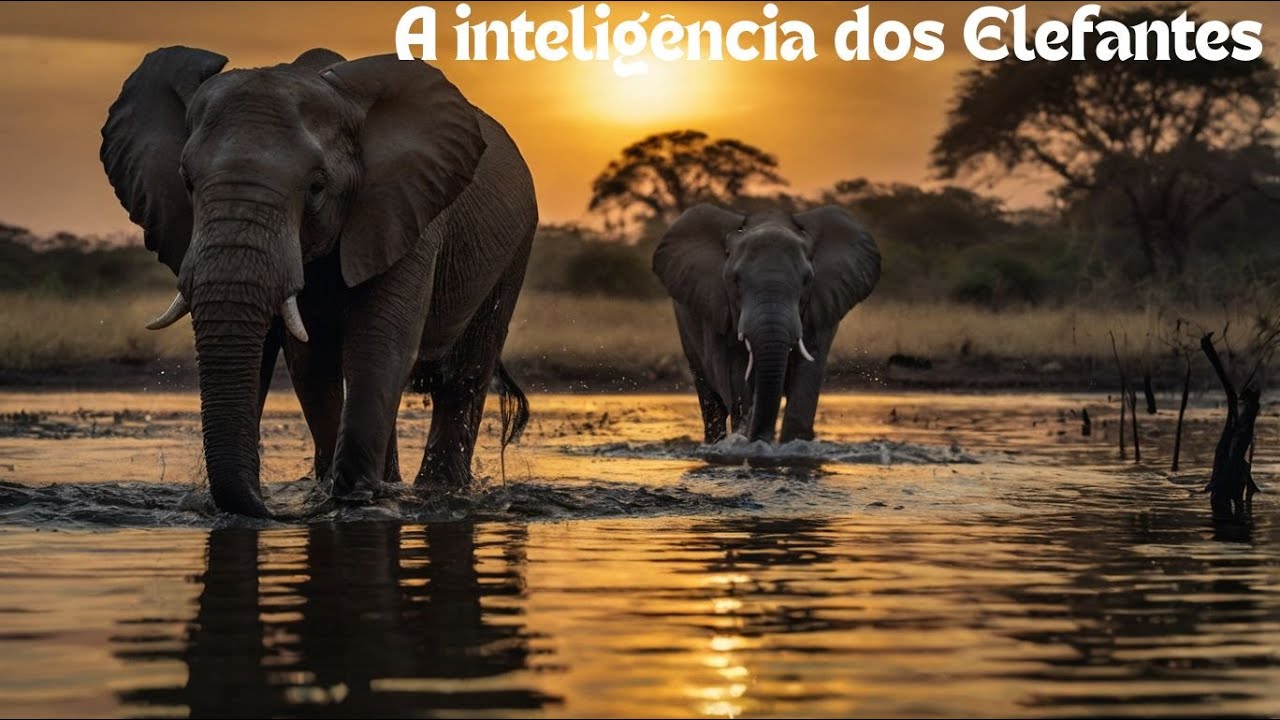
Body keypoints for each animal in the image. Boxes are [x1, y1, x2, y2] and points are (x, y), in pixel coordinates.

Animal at [100, 47, 537, 517]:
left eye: (316, 187)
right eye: (187, 182)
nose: (270, 510)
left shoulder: (405, 211)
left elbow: (376, 344)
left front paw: (352, 500)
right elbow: (310, 360)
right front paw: (338, 496)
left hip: (514, 253)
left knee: (462, 380)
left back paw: (436, 493)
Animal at [653, 204, 880, 444]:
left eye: (807, 280)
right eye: (735, 280)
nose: (759, 438)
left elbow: (808, 371)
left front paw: (794, 443)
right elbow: (735, 374)